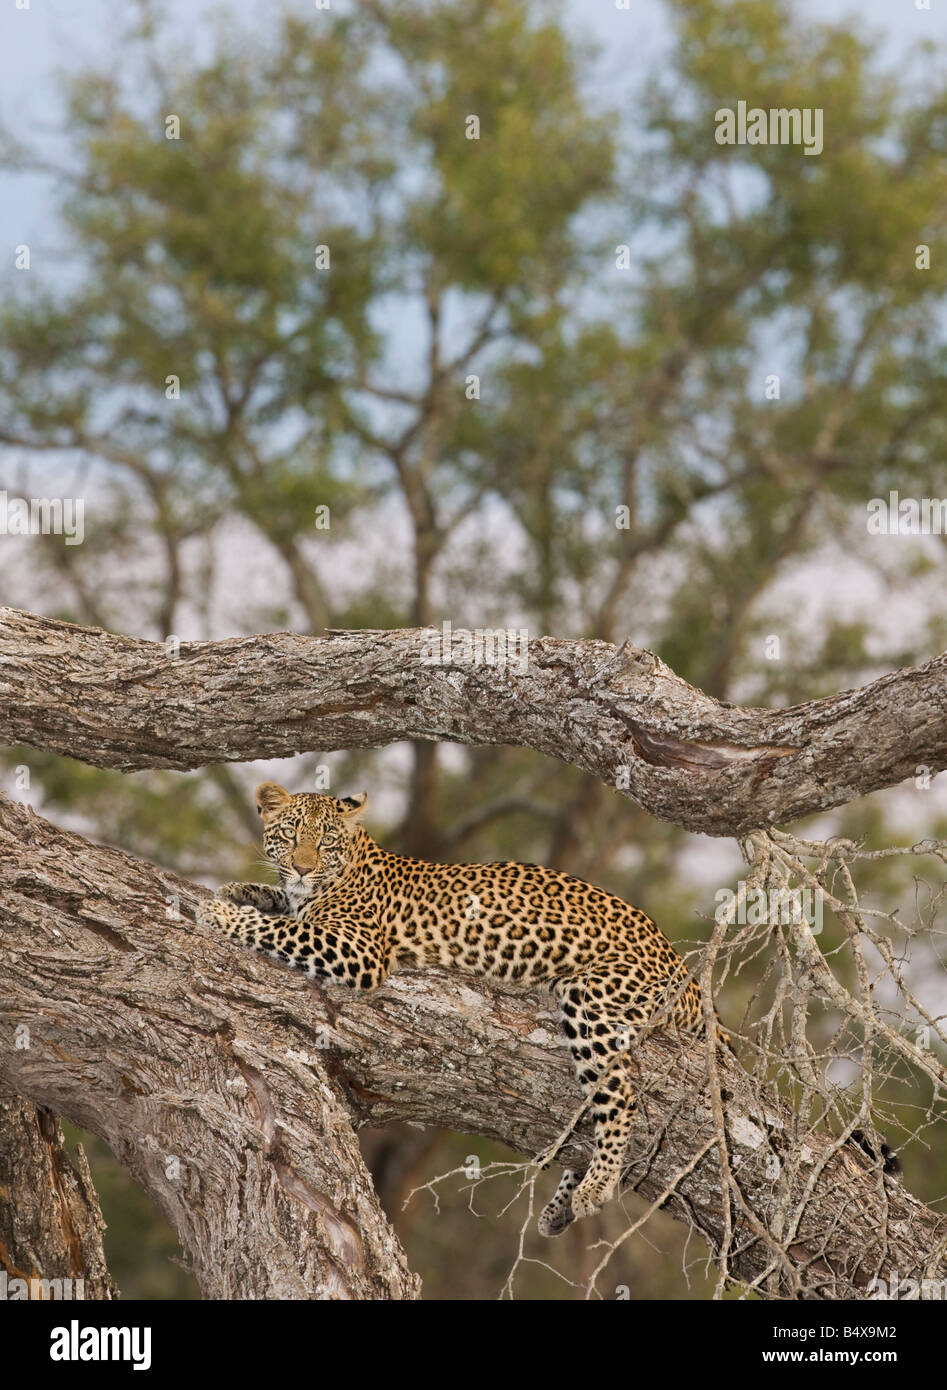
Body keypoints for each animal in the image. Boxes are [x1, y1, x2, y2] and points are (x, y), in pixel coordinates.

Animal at [197, 783, 726, 1236]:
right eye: (290, 834)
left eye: (325, 841)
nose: (304, 868)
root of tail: (679, 962)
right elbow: (280, 907)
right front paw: (240, 890)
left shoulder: (358, 950)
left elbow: (281, 928)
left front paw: (222, 913)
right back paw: (559, 1209)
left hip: (591, 999)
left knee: (620, 1095)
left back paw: (597, 1185)